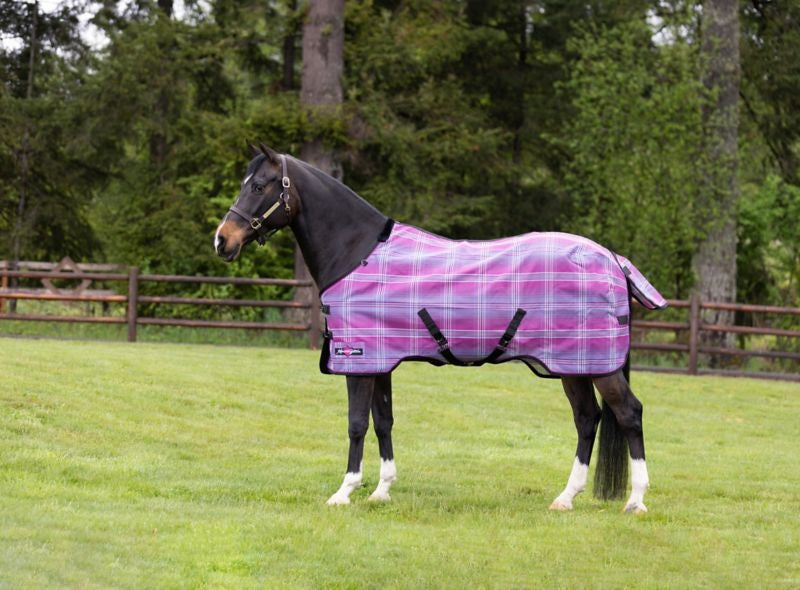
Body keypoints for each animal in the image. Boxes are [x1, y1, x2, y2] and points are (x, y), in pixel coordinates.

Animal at [214, 146, 666, 514]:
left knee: (629, 414)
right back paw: (566, 498)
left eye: (259, 186)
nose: (222, 240)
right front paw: (381, 491)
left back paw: (636, 501)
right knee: (588, 419)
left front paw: (344, 492)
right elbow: (383, 421)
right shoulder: (381, 361)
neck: (357, 251)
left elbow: (357, 423)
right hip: (571, 366)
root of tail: (612, 258)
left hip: (597, 366)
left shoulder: (358, 360)